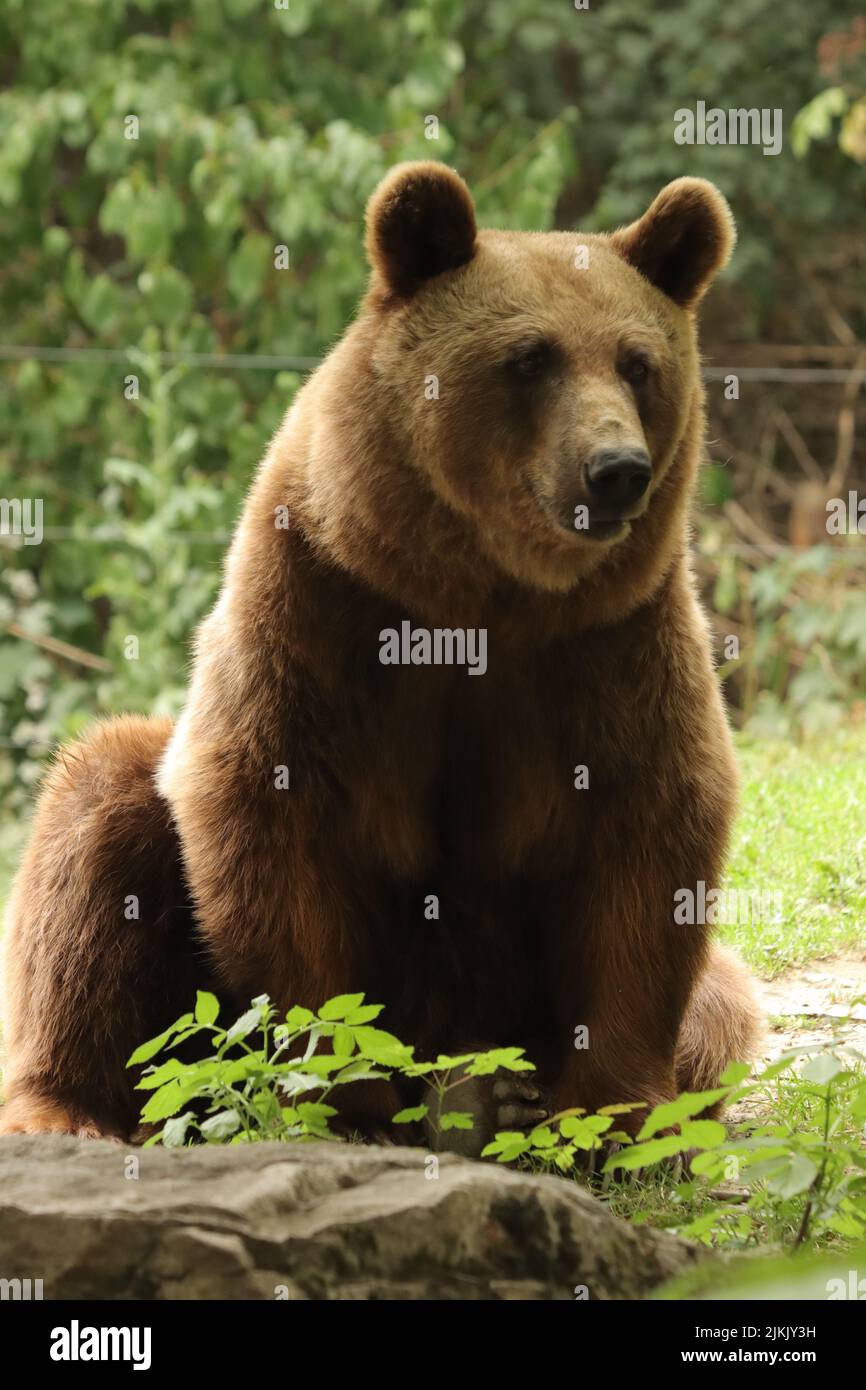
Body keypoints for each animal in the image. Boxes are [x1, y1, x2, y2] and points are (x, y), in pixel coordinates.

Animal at [0, 162, 763, 1149]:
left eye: (638, 363)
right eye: (531, 358)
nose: (616, 469)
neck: (483, 597)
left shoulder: (613, 641)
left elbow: (647, 837)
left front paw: (611, 1113)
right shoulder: (323, 607)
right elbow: (276, 818)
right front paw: (347, 1094)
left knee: (721, 1014)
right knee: (97, 825)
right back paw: (64, 1108)